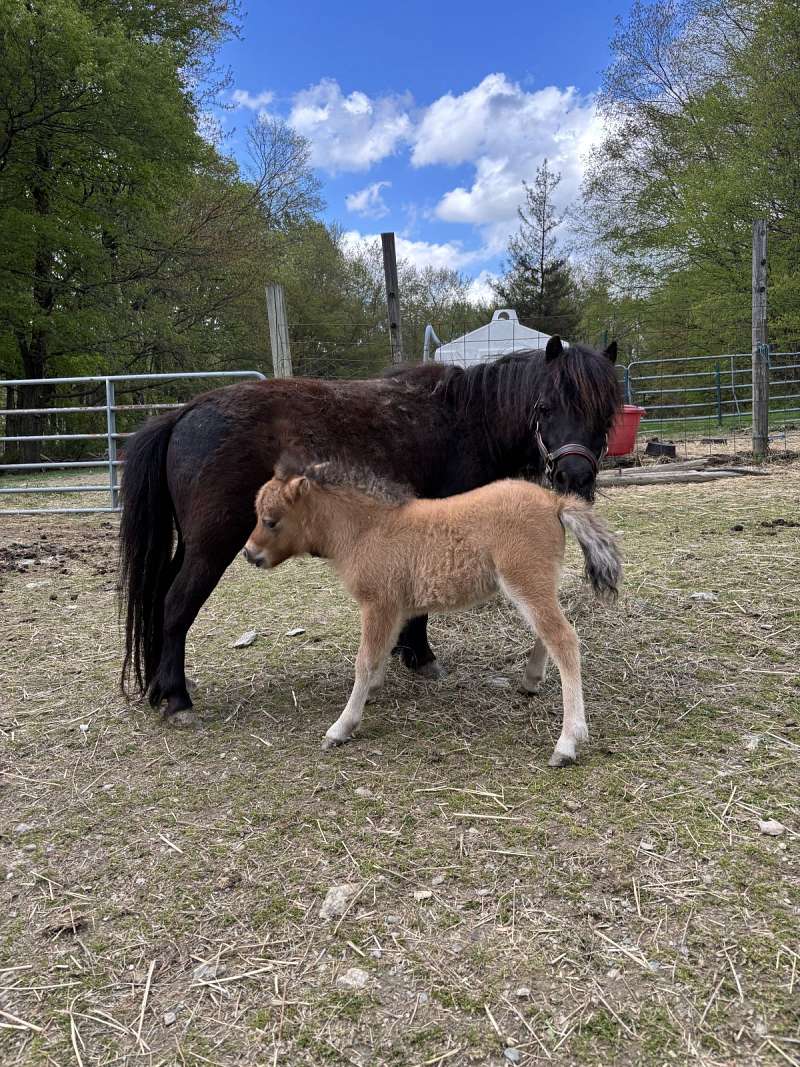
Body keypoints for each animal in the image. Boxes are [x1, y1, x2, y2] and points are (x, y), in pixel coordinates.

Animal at [119, 336, 621, 721]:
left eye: (605, 414)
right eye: (546, 406)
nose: (575, 478)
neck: (466, 420)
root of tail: (185, 413)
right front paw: (419, 656)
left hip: (191, 545)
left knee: (159, 599)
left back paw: (160, 686)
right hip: (212, 546)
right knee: (176, 604)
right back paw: (178, 700)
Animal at [243, 458, 622, 766]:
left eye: (271, 521)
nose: (249, 553)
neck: (367, 529)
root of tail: (555, 501)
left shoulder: (378, 603)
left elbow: (365, 660)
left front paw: (342, 726)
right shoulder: (395, 608)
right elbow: (381, 653)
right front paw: (373, 691)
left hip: (525, 579)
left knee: (563, 638)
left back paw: (567, 742)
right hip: (536, 583)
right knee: (549, 632)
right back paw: (530, 681)